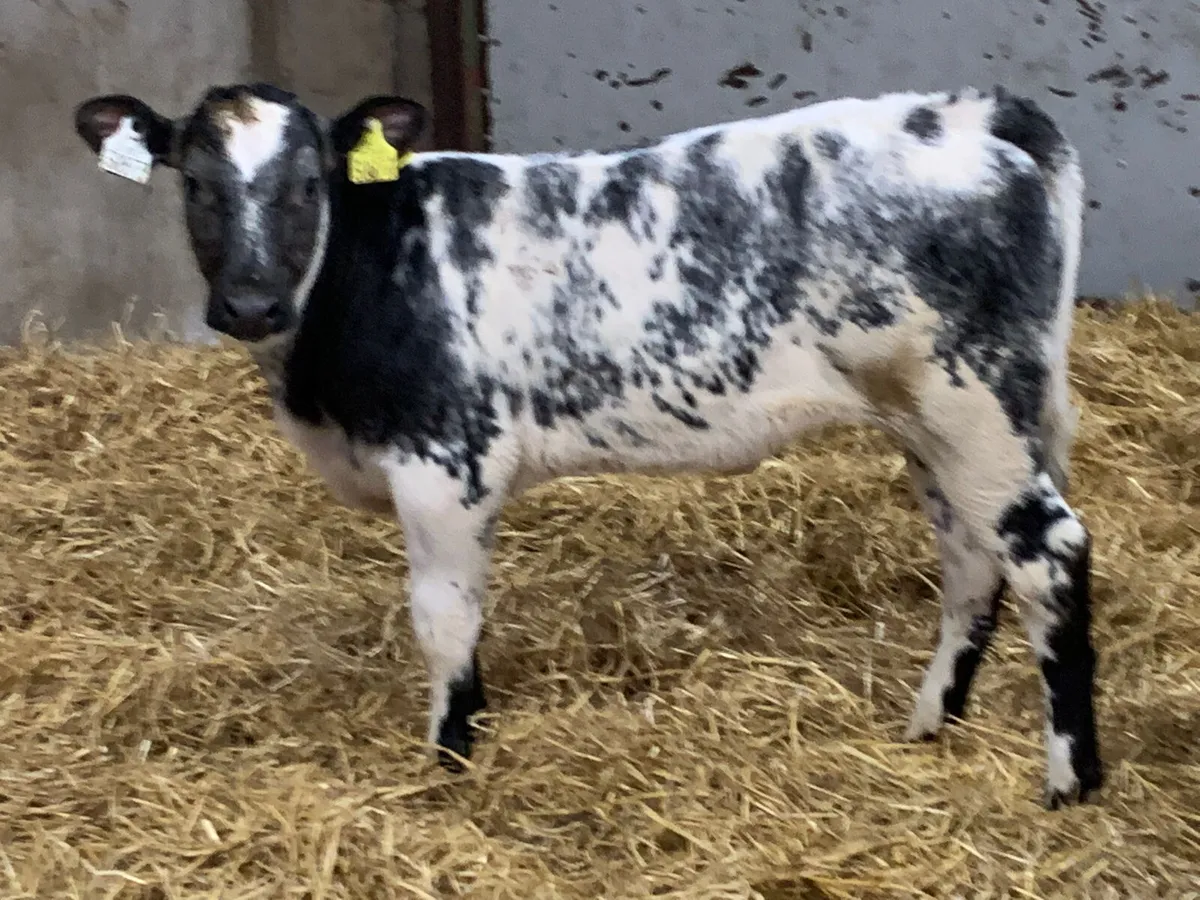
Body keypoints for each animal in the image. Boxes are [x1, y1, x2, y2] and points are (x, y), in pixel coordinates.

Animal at [73, 82, 1101, 807]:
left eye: (306, 184)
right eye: (195, 183)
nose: (250, 304)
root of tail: (965, 113)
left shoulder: (446, 464)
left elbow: (445, 619)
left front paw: (449, 758)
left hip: (975, 406)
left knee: (1048, 553)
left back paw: (1070, 781)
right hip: (935, 424)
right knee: (971, 560)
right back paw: (930, 725)